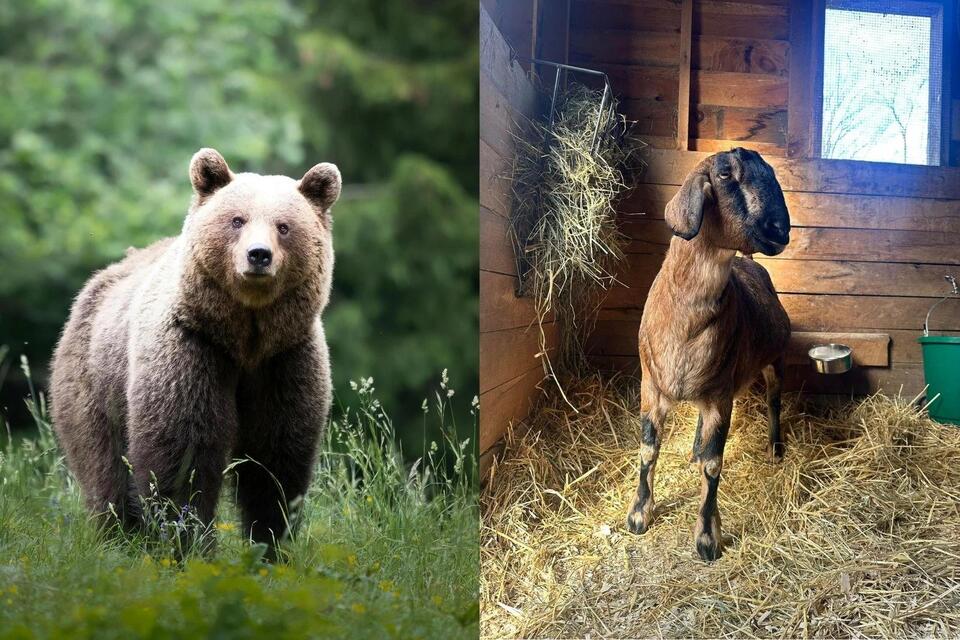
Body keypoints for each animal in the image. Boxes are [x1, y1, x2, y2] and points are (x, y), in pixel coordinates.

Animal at [50, 148, 341, 551]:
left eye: (283, 226)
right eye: (237, 220)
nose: (259, 255)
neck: (244, 339)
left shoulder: (285, 359)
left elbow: (276, 459)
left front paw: (270, 542)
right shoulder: (192, 348)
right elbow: (184, 451)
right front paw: (187, 541)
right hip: (95, 381)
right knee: (103, 466)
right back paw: (119, 536)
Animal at [625, 147, 791, 561]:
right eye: (725, 175)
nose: (781, 230)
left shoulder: (720, 396)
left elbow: (715, 466)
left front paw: (706, 538)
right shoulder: (651, 388)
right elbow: (647, 451)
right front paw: (638, 514)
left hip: (773, 361)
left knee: (774, 401)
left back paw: (775, 447)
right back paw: (695, 451)